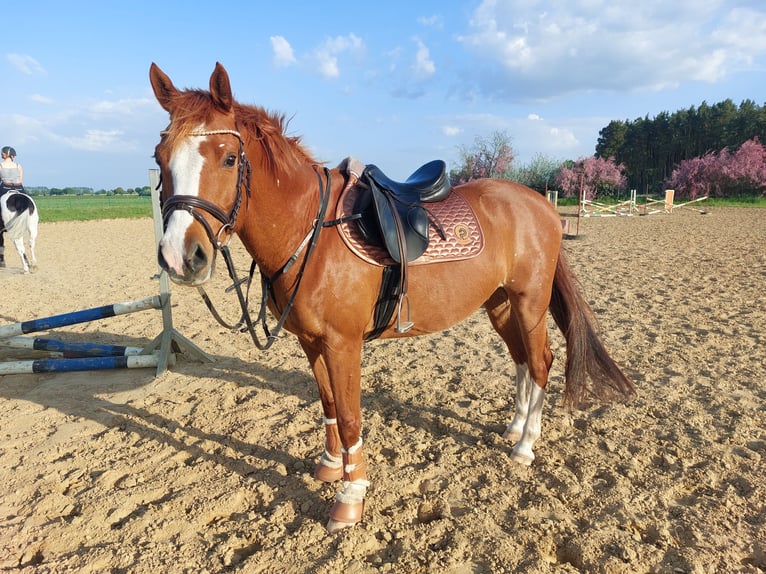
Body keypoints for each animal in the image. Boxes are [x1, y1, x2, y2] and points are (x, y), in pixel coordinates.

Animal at [149, 62, 635, 533]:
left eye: (230, 158)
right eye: (159, 159)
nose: (179, 257)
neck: (311, 231)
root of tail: (542, 204)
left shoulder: (343, 344)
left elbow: (350, 416)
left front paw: (350, 497)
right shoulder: (311, 342)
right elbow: (328, 403)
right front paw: (331, 465)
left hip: (529, 301)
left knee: (540, 361)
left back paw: (526, 445)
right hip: (498, 303)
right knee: (519, 360)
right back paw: (514, 428)